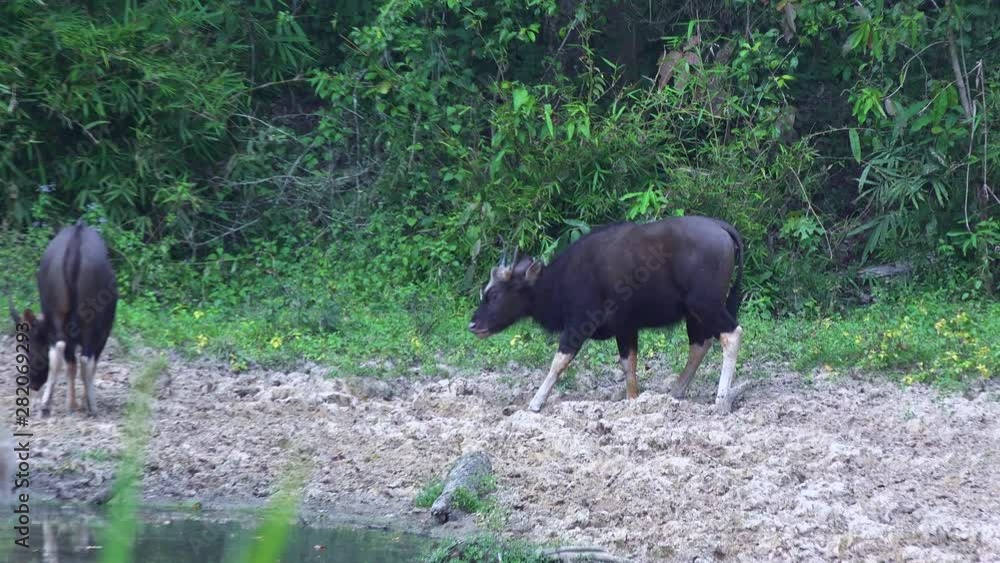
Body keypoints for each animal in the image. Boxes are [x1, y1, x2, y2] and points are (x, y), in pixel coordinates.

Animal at [9, 221, 118, 417]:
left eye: (28, 346)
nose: (32, 383)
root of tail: (75, 240)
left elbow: (70, 363)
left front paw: (72, 403)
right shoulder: (103, 334)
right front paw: (79, 402)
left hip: (59, 313)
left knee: (60, 350)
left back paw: (46, 405)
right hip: (90, 323)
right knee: (84, 359)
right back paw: (90, 406)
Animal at [469, 215, 746, 414]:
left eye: (494, 295)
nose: (473, 324)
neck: (560, 282)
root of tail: (721, 227)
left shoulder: (578, 324)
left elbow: (559, 362)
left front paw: (536, 402)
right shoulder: (626, 328)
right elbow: (629, 364)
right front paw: (634, 400)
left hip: (705, 304)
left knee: (731, 334)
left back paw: (721, 401)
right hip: (694, 313)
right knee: (700, 344)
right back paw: (676, 391)